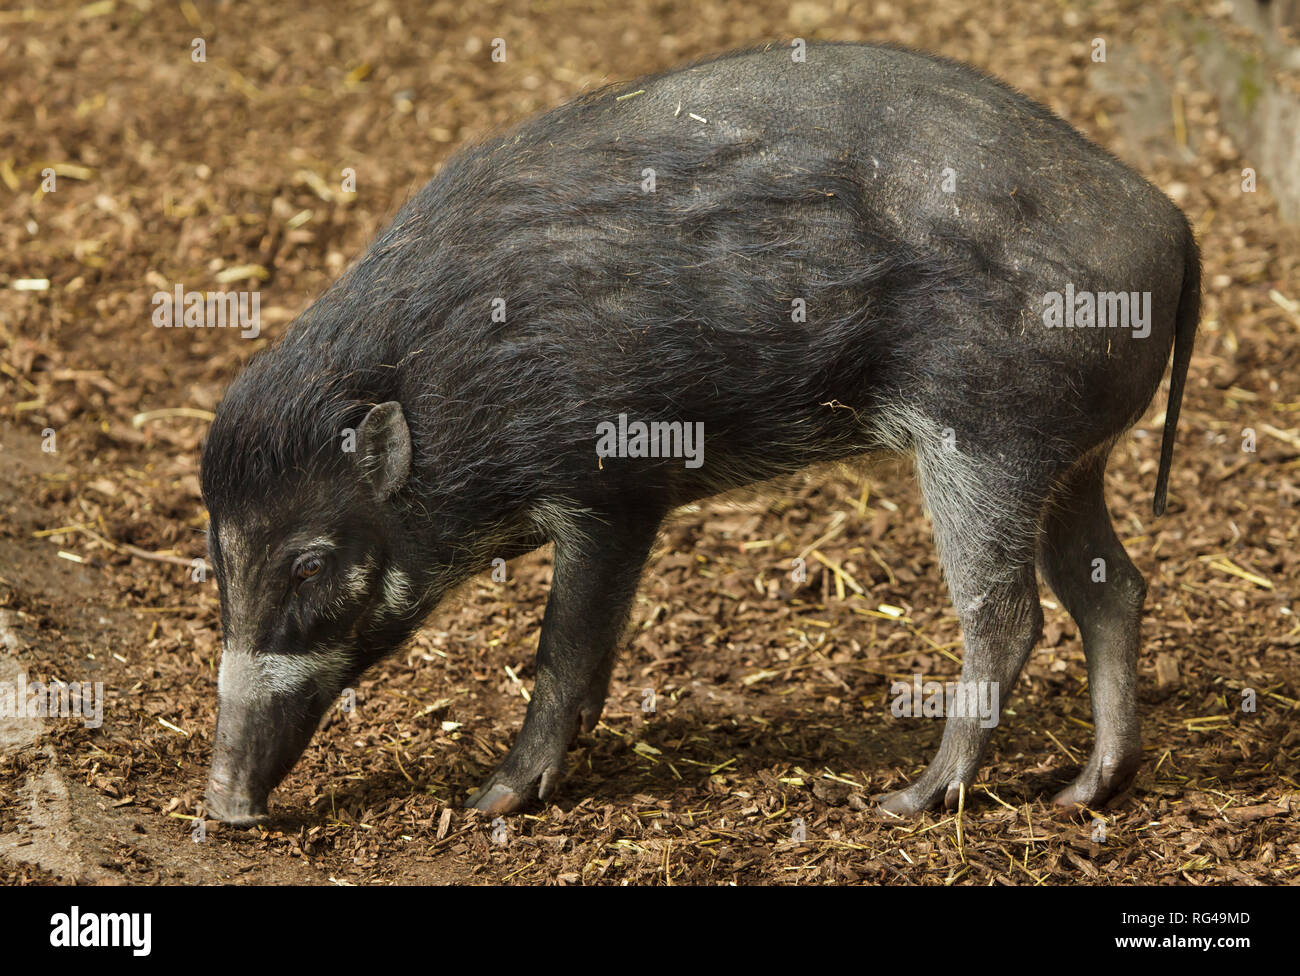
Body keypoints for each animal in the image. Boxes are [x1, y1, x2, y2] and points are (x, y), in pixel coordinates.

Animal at [200, 41, 1199, 825]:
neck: (448, 392)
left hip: (986, 443)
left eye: (310, 564)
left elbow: (562, 648)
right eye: (216, 557)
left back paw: (909, 801)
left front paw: (491, 803)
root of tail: (1172, 224)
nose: (226, 808)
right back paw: (1084, 792)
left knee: (1008, 613)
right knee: (1114, 589)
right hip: (1072, 460)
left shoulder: (611, 492)